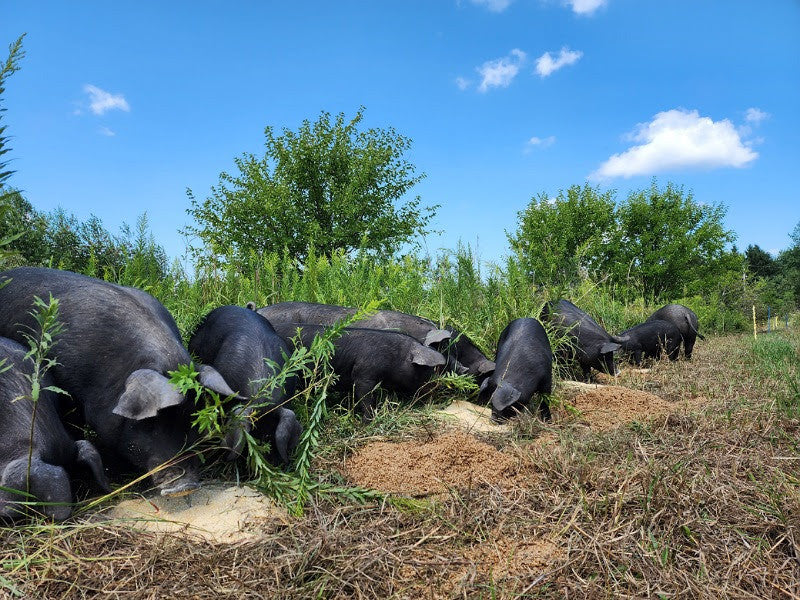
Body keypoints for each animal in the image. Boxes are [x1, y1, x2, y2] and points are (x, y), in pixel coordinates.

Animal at [271, 322, 446, 419]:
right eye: (427, 370)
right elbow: (365, 396)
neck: (397, 357)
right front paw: (368, 421)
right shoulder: (364, 373)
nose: (437, 387)